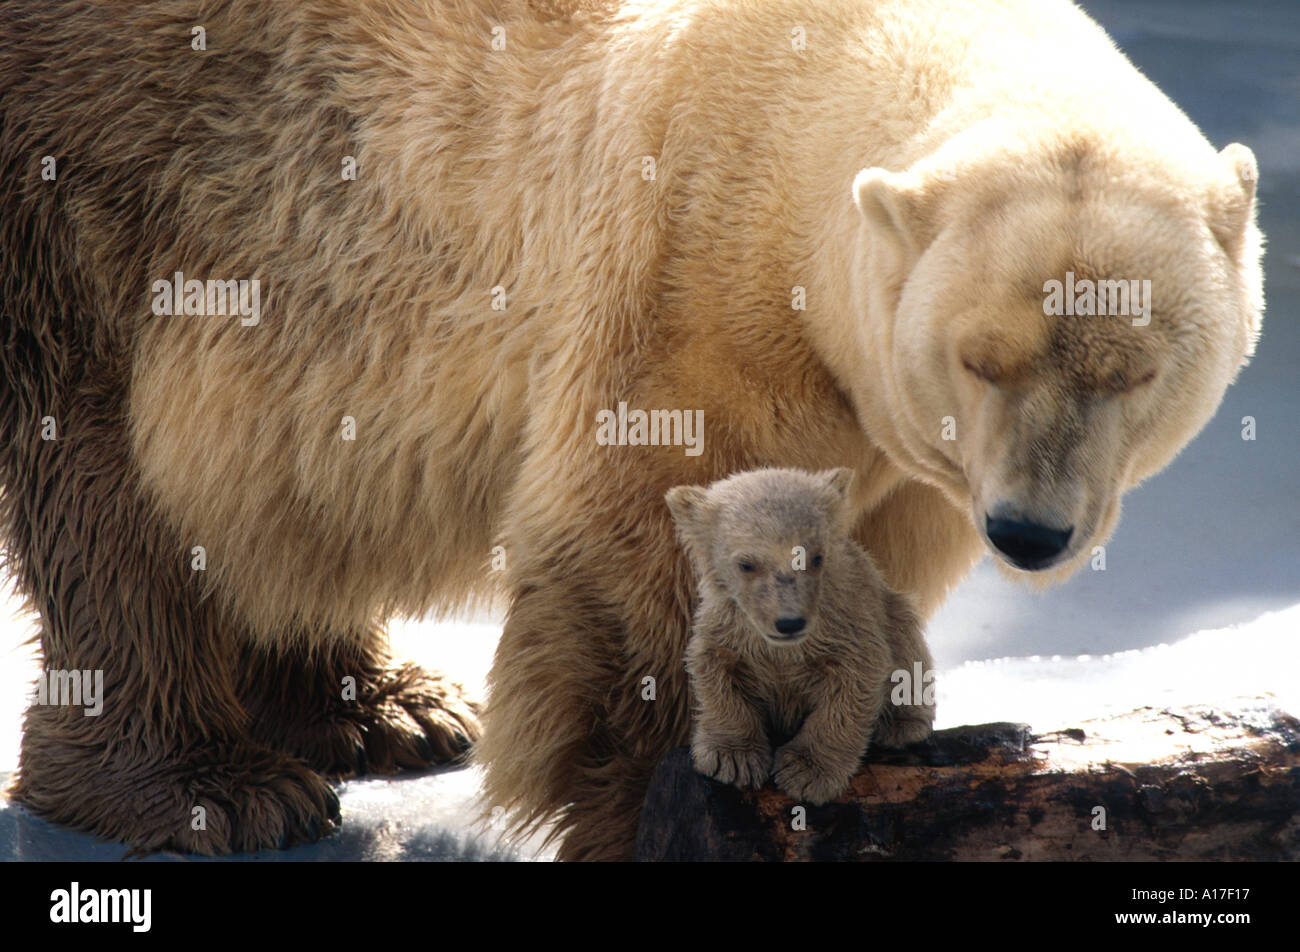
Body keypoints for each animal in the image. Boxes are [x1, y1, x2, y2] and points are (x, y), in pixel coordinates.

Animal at [667, 467, 934, 805]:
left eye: (816, 558)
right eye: (746, 564)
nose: (789, 622)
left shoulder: (847, 621)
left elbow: (855, 680)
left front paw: (806, 772)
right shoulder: (726, 626)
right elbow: (714, 668)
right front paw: (733, 759)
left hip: (893, 609)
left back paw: (900, 725)